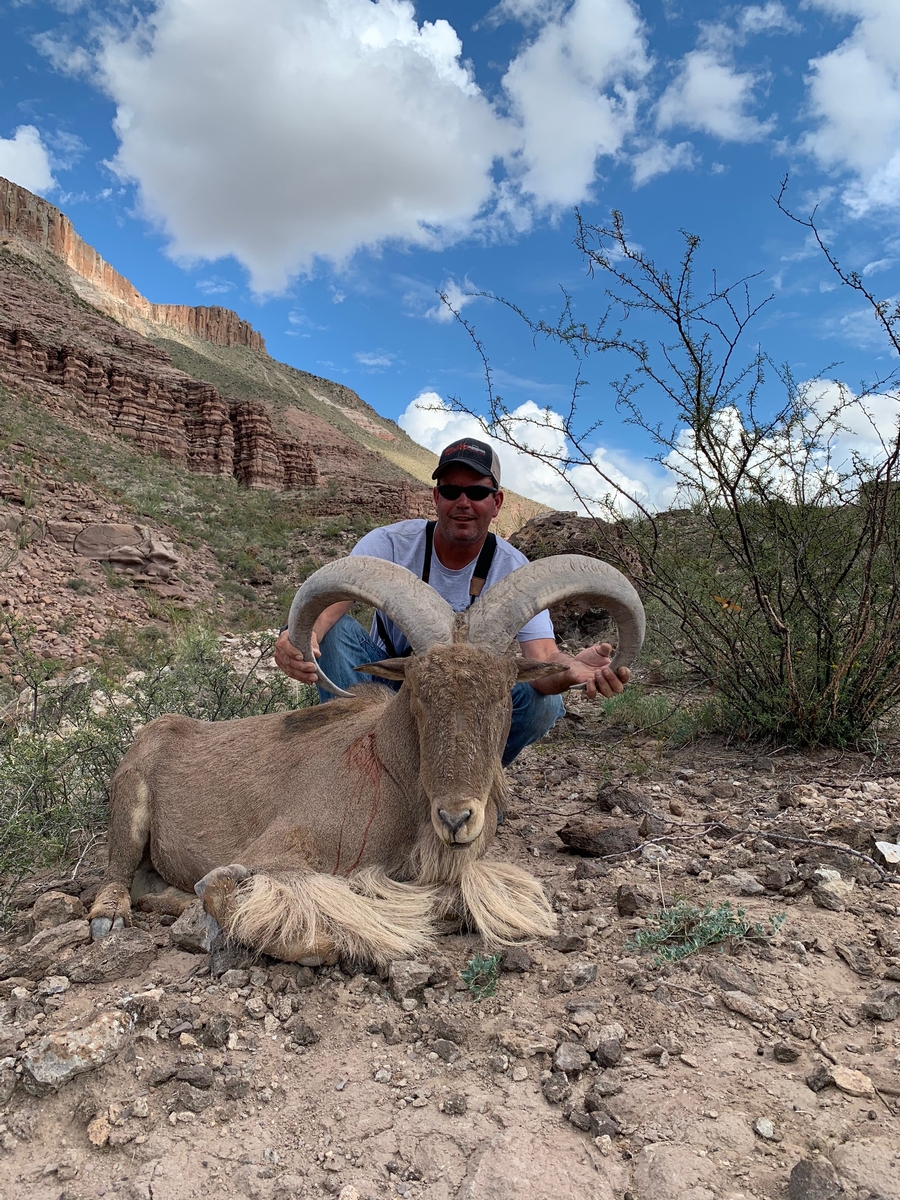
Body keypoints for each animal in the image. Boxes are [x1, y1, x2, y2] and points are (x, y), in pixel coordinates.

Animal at [88, 554, 644, 967]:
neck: (390, 774)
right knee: (118, 875)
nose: (456, 818)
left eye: (504, 692)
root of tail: (157, 730)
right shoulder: (278, 850)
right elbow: (252, 899)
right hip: (131, 803)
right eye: (417, 693)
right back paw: (110, 918)